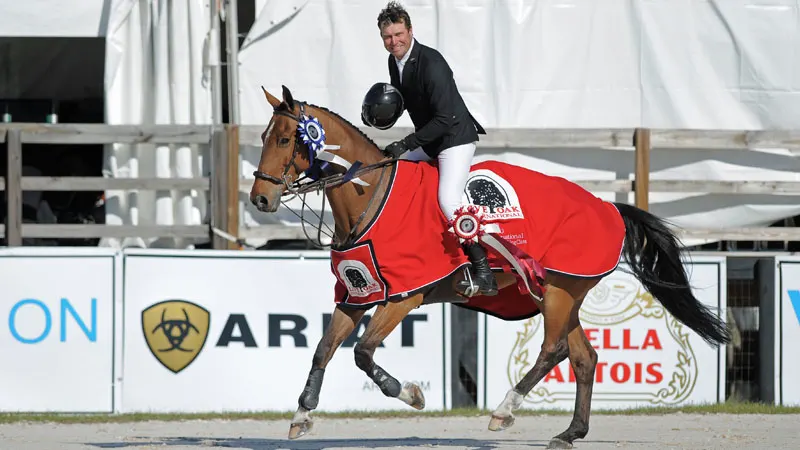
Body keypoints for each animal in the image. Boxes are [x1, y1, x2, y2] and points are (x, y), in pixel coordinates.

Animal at [248, 85, 731, 448]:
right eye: (265, 138)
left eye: (287, 140)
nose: (260, 199)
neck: (371, 197)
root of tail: (608, 206)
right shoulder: (356, 295)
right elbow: (324, 349)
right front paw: (301, 416)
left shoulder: (405, 296)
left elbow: (363, 354)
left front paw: (412, 394)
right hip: (562, 294)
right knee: (583, 357)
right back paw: (570, 433)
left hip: (559, 293)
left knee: (553, 349)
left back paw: (504, 409)